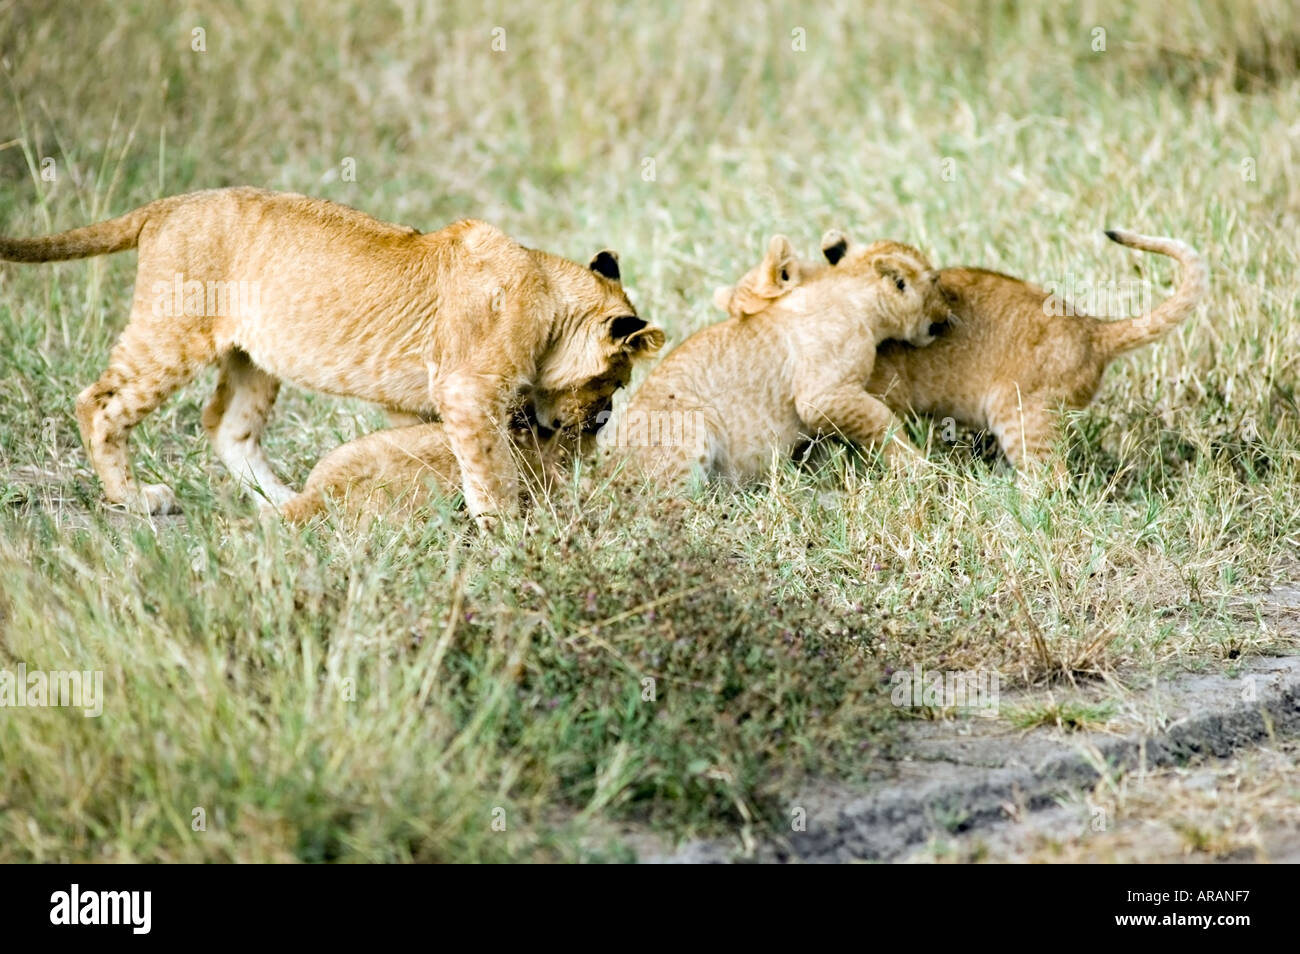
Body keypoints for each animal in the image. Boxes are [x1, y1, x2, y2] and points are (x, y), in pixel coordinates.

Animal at [0, 187, 663, 528]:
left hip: (254, 357)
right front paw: (509, 534)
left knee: (227, 427)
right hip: (173, 333)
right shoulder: (465, 391)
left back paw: (283, 500)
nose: (598, 421)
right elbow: (489, 471)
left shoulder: (422, 402)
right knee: (99, 403)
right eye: (615, 382)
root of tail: (165, 205)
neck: (546, 291)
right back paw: (135, 498)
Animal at [600, 231, 954, 485]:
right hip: (690, 428)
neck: (851, 291)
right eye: (936, 281)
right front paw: (921, 468)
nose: (949, 311)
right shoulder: (822, 396)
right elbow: (881, 422)